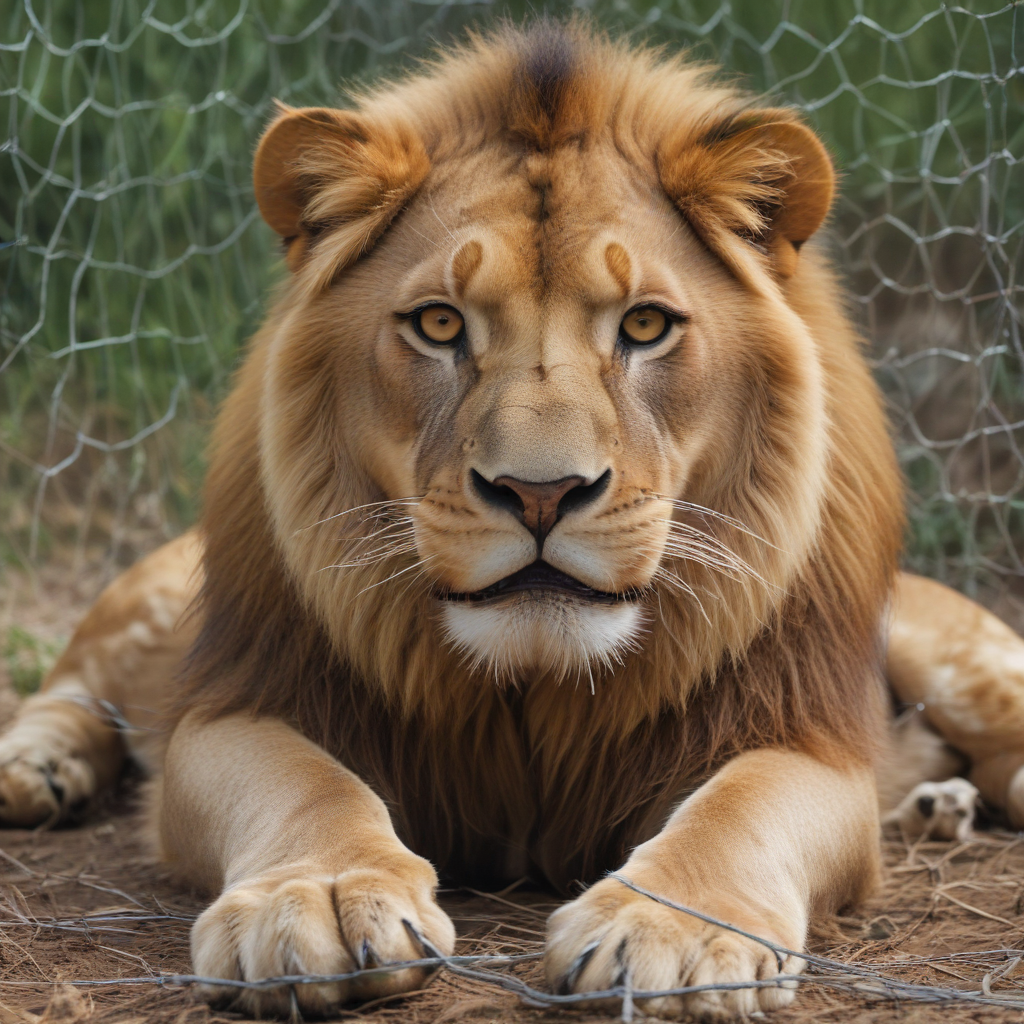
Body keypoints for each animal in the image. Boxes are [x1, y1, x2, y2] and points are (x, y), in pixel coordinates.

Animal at [3, 21, 1024, 1020]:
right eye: (439, 325)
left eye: (645, 326)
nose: (541, 493)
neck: (535, 684)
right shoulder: (238, 700)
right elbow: (305, 781)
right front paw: (321, 896)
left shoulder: (802, 729)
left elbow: (739, 807)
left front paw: (671, 931)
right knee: (70, 686)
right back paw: (34, 772)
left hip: (957, 656)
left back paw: (943, 804)